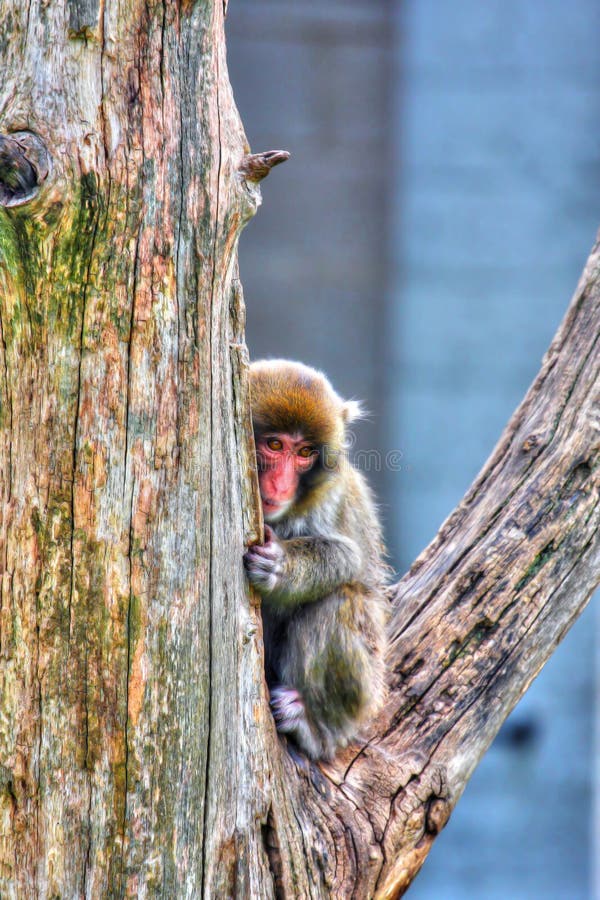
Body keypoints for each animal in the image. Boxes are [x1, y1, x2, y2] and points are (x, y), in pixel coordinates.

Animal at [243, 359, 389, 761]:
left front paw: (280, 567)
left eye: (305, 452)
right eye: (275, 444)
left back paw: (315, 724)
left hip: (368, 691)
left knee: (337, 601)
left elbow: (347, 558)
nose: (281, 486)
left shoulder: (330, 495)